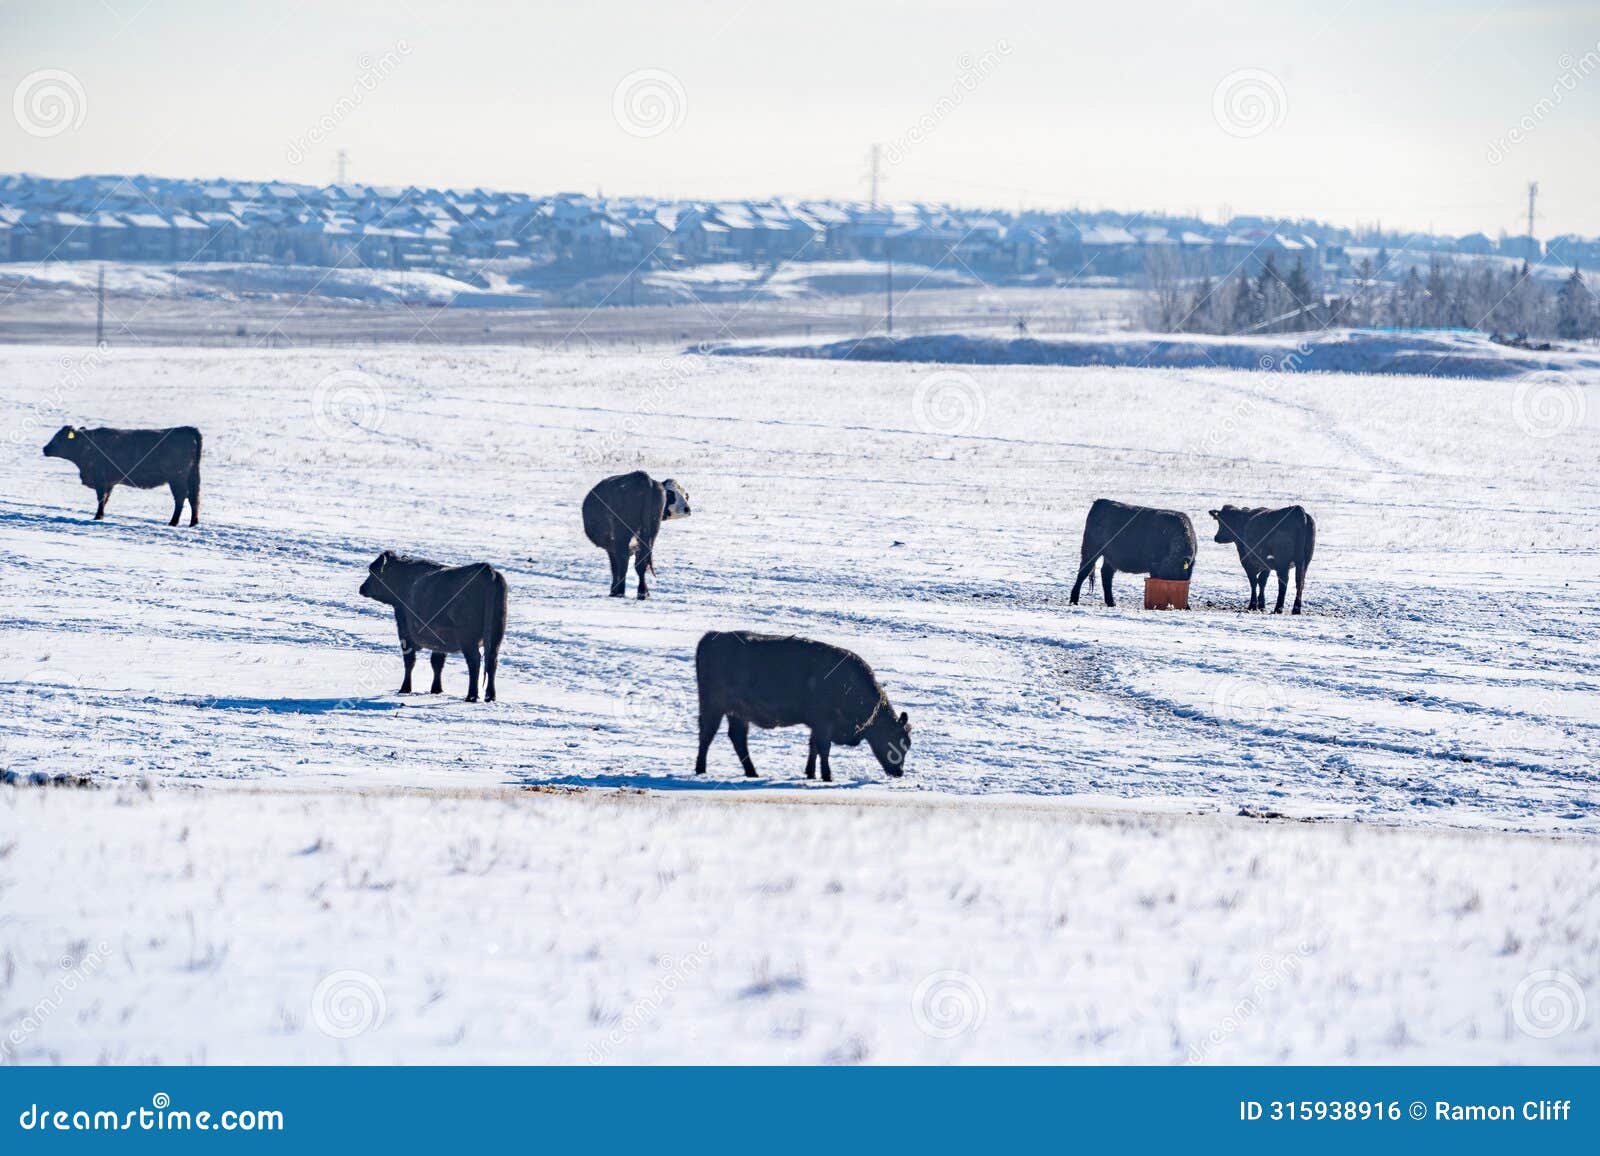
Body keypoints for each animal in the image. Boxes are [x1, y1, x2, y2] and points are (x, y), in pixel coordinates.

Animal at [42, 425, 202, 525]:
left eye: (60, 438)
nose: (45, 449)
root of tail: (187, 429)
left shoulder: (101, 480)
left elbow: (101, 499)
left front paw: (97, 516)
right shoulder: (109, 483)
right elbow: (105, 499)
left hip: (177, 478)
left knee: (181, 498)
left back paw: (173, 522)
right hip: (192, 477)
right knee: (194, 499)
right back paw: (193, 523)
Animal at [359, 551, 508, 702]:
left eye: (373, 572)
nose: (362, 588)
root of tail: (487, 571)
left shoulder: (404, 632)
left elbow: (410, 661)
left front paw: (405, 689)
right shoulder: (439, 641)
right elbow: (437, 663)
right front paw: (436, 689)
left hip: (468, 639)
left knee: (474, 661)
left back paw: (471, 696)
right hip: (495, 636)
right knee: (492, 660)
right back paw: (490, 696)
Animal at [581, 471, 690, 599]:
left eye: (685, 495)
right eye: (670, 493)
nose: (687, 509)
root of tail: (643, 477)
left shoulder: (612, 547)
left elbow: (615, 567)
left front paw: (613, 590)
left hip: (622, 536)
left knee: (623, 563)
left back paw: (620, 592)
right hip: (650, 534)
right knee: (640, 563)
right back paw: (643, 592)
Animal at [693, 630, 911, 782]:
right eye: (898, 740)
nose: (899, 772)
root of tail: (711, 637)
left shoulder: (817, 725)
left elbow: (813, 746)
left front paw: (810, 773)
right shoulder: (824, 724)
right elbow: (823, 748)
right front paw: (827, 776)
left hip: (737, 713)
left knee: (737, 738)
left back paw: (752, 772)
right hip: (713, 707)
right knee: (707, 734)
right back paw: (700, 769)